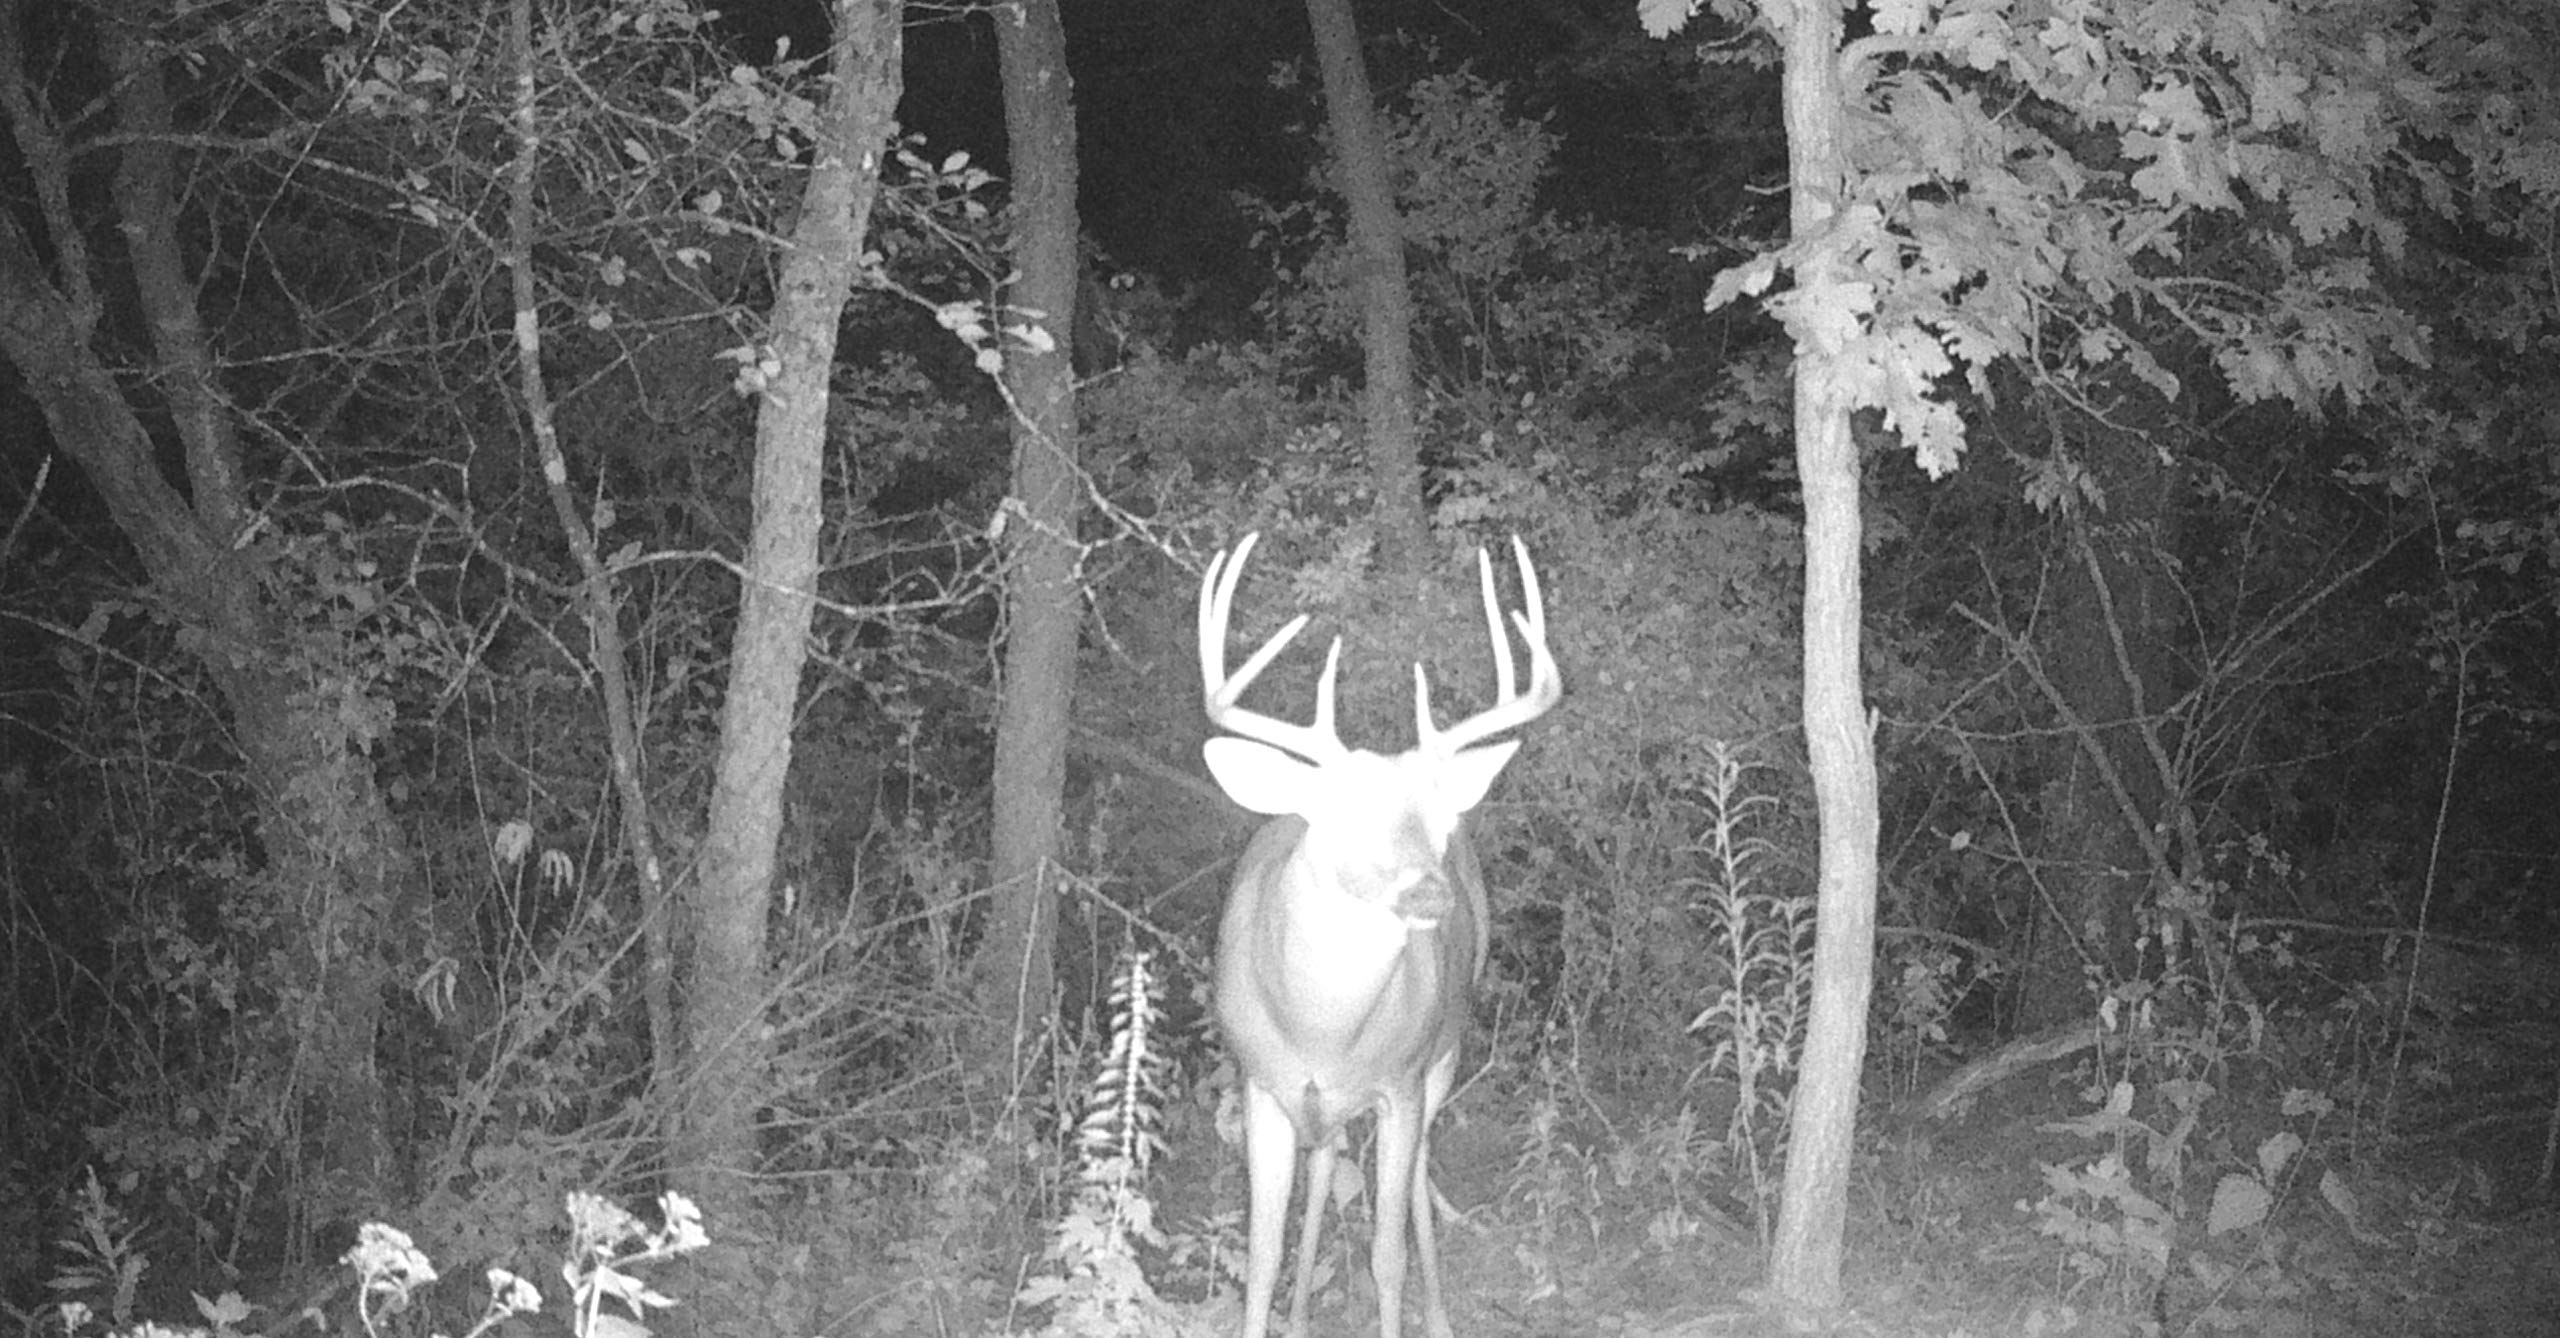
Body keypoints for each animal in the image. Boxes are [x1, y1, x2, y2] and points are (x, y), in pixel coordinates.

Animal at [1197, 533, 1561, 1338]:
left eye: (1442, 819)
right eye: (1340, 814)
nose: (1430, 890)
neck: (1320, 1029)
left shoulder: (1400, 1083)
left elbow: (1385, 1253)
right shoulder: (1261, 1084)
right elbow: (1261, 1258)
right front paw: (1282, 1305)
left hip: (1445, 1049)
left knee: (1418, 1171)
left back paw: (1441, 1313)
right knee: (1327, 1163)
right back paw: (1304, 1314)